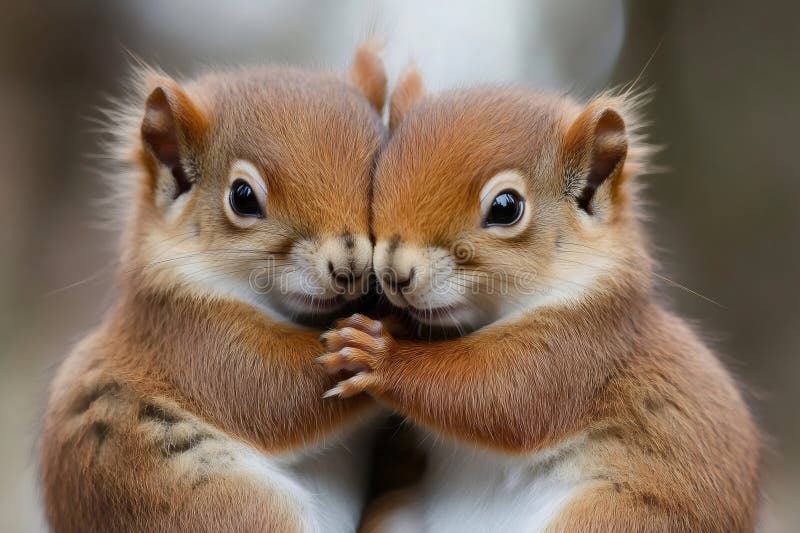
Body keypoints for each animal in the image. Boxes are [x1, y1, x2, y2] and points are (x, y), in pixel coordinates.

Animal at [39, 43, 388, 532]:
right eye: (243, 197)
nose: (351, 267)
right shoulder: (191, 341)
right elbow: (277, 390)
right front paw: (376, 344)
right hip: (234, 508)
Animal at [319, 66, 761, 532]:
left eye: (506, 207)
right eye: (378, 173)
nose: (394, 273)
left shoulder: (586, 345)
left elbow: (506, 394)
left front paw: (377, 353)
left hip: (612, 517)